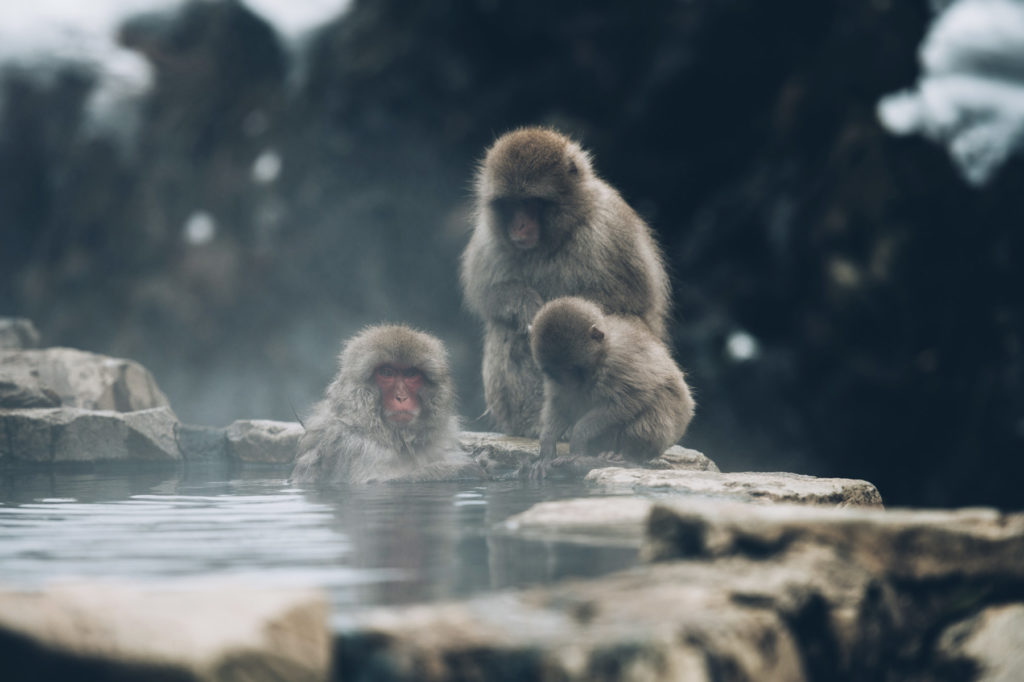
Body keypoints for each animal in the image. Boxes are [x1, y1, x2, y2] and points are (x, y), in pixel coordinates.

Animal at [291, 325, 485, 485]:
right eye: (386, 373)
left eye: (411, 374)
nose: (401, 397)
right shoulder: (349, 443)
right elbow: (375, 481)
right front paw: (466, 469)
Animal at [460, 126, 671, 437]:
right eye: (510, 205)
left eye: (531, 202)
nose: (518, 227)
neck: (553, 240)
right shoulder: (489, 238)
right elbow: (487, 296)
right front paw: (522, 302)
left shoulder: (610, 227)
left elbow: (625, 306)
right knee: (507, 329)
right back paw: (533, 423)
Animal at [529, 297, 695, 472]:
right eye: (554, 371)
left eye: (571, 369)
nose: (568, 382)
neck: (602, 354)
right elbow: (561, 403)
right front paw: (546, 446)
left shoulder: (619, 359)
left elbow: (629, 399)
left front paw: (578, 438)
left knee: (658, 400)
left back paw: (627, 456)